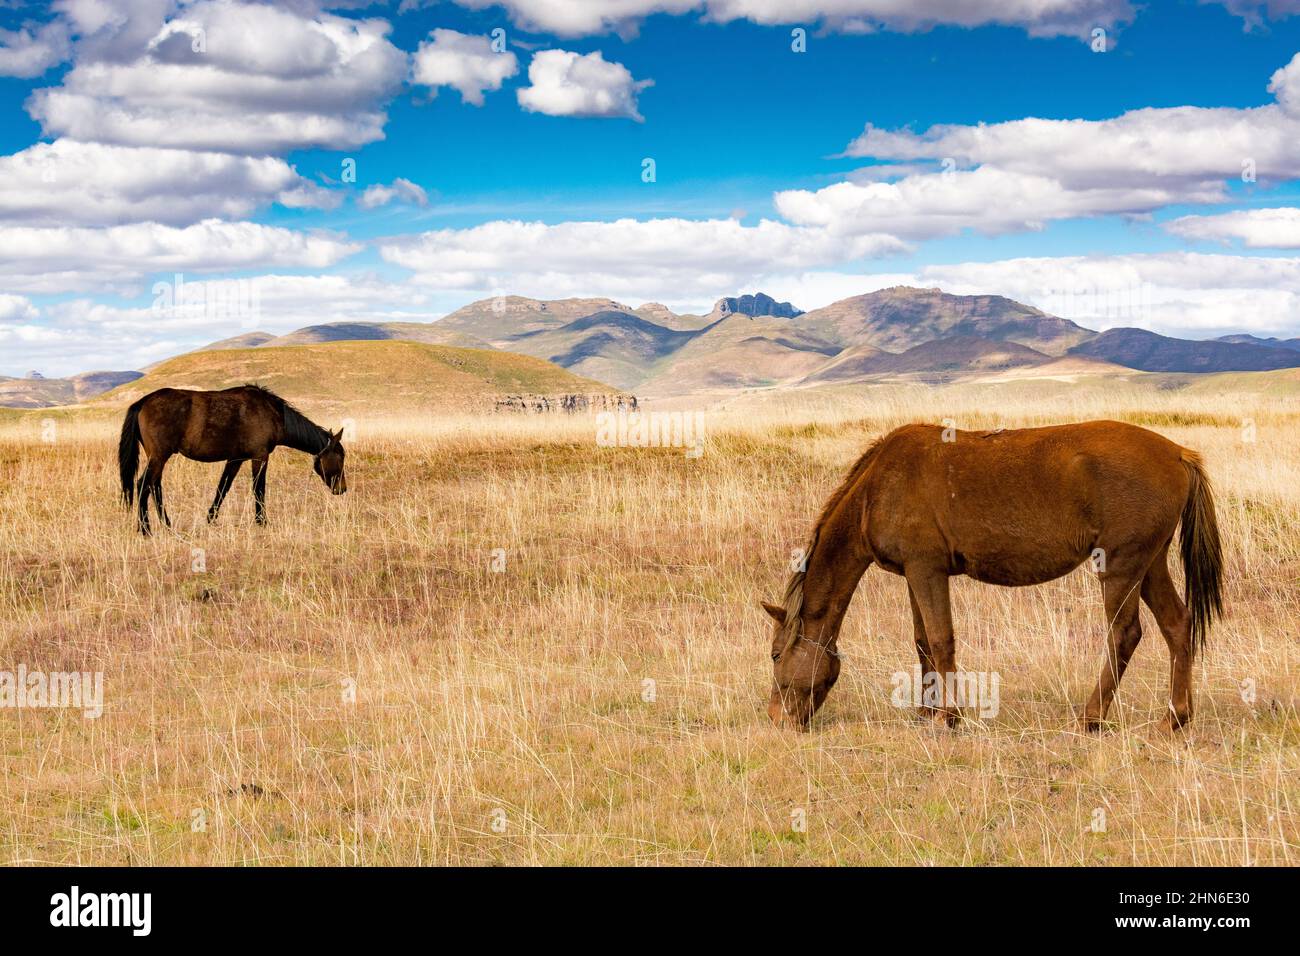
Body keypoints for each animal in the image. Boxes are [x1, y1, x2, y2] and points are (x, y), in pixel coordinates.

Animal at [118, 385, 348, 536]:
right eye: (340, 457)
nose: (342, 489)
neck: (272, 414)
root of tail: (143, 402)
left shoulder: (235, 459)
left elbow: (223, 488)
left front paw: (210, 518)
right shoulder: (260, 457)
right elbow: (258, 489)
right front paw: (262, 521)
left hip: (158, 458)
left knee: (155, 487)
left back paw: (166, 524)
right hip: (159, 457)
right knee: (144, 485)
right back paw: (146, 529)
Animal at [761, 421, 1223, 734]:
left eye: (775, 655)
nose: (776, 719)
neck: (876, 490)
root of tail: (1178, 453)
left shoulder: (927, 569)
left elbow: (941, 640)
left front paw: (949, 716)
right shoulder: (913, 573)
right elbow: (922, 642)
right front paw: (927, 711)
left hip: (1122, 567)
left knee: (1124, 634)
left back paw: (1091, 717)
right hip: (1150, 564)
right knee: (1177, 624)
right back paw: (1175, 718)